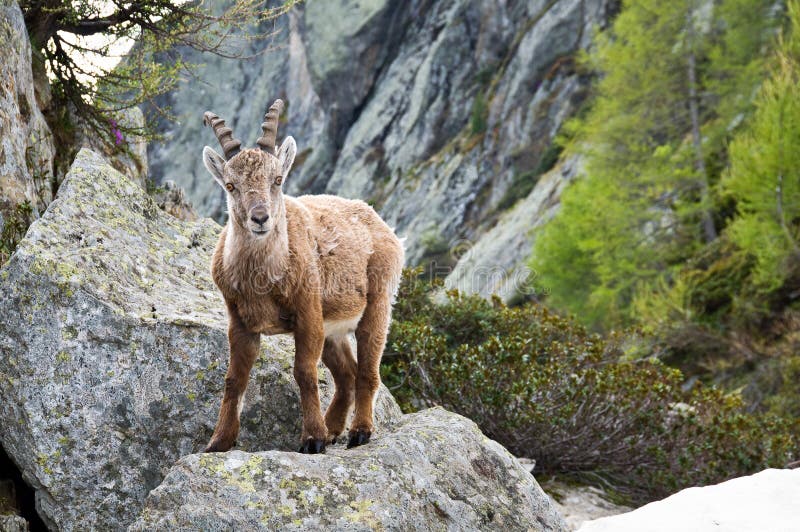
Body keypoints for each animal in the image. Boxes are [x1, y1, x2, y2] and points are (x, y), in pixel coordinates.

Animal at [201, 100, 404, 454]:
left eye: (278, 179)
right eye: (230, 185)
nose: (260, 218)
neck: (262, 279)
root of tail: (378, 220)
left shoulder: (308, 312)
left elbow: (305, 372)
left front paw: (312, 438)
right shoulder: (240, 322)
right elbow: (234, 379)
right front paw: (219, 441)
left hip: (377, 304)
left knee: (367, 371)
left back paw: (359, 431)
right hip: (332, 328)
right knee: (347, 374)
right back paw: (334, 427)